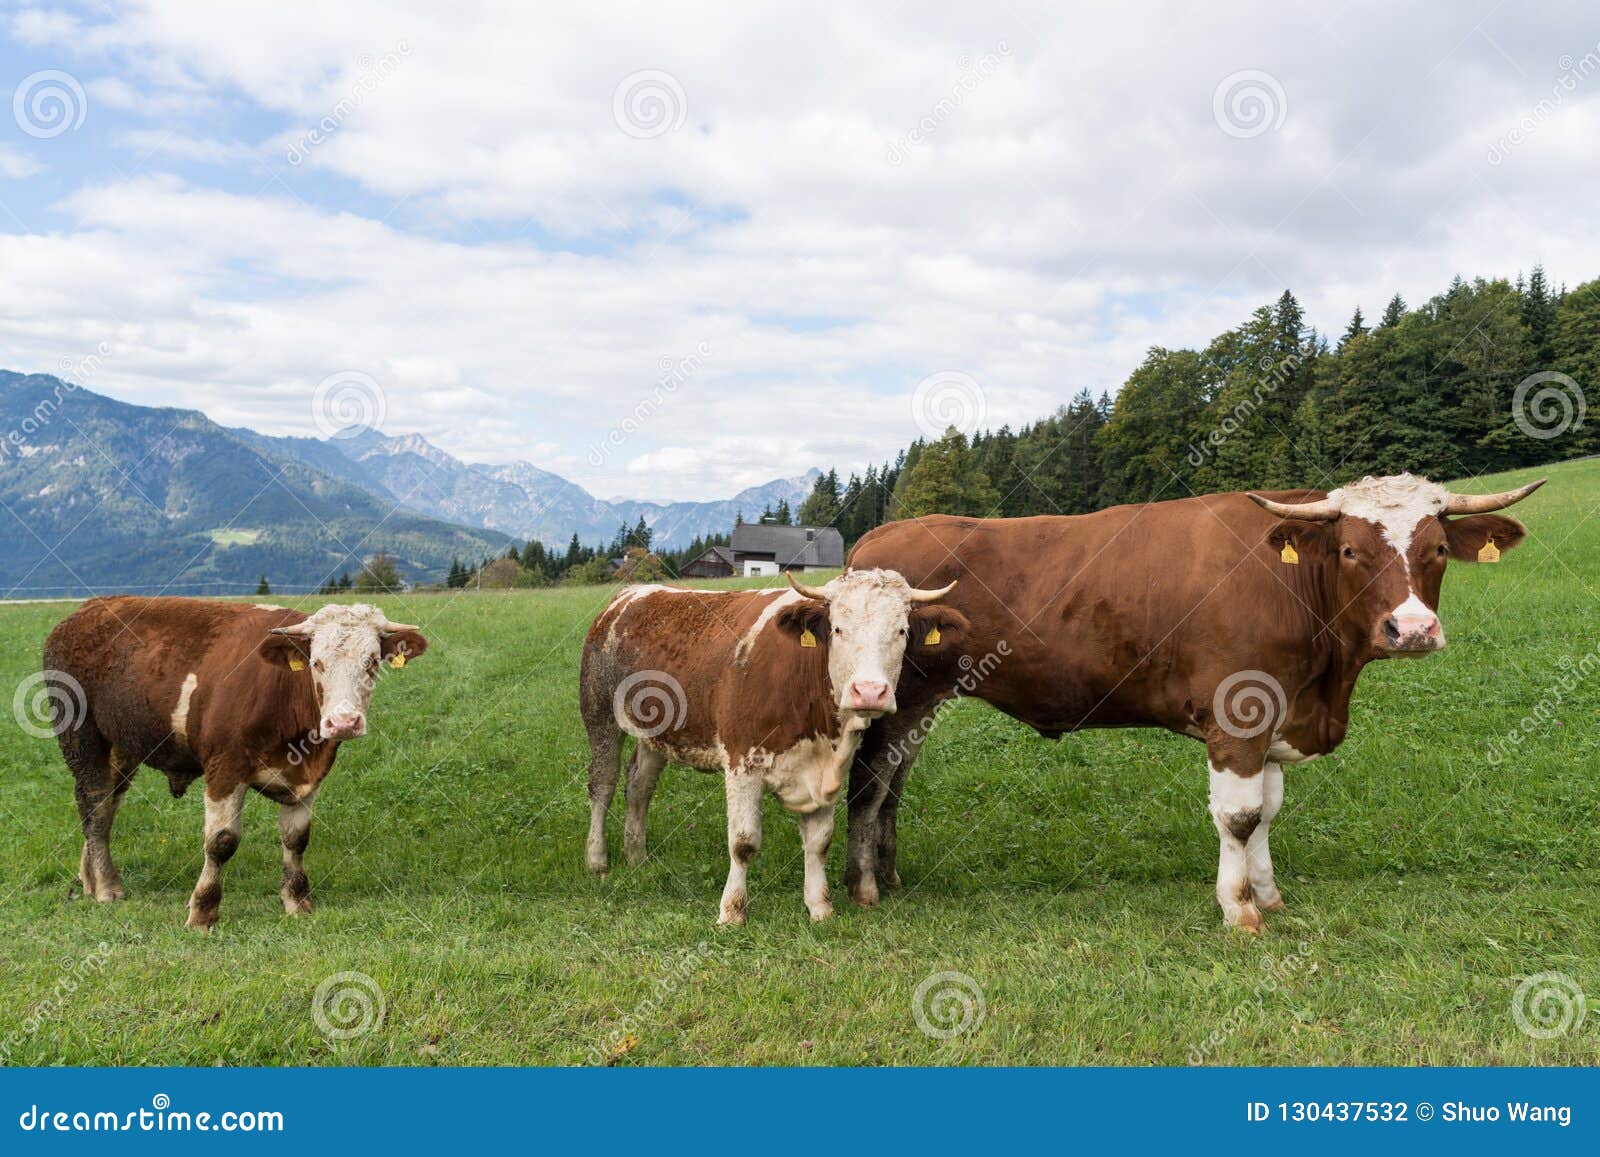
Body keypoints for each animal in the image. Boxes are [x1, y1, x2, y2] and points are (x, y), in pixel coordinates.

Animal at [41, 598, 428, 928]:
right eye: (316, 663)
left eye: (372, 662)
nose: (344, 722)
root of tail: (86, 611)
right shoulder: (225, 768)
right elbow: (221, 841)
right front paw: (203, 911)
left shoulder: (309, 776)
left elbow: (296, 839)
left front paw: (297, 901)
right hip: (81, 735)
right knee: (93, 803)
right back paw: (107, 887)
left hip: (122, 745)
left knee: (108, 803)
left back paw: (89, 878)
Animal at [581, 569, 967, 924]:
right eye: (838, 629)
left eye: (901, 631)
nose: (869, 692)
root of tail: (631, 594)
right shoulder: (742, 762)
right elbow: (743, 843)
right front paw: (732, 912)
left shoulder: (828, 770)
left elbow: (819, 841)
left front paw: (820, 908)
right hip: (599, 713)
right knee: (603, 785)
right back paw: (597, 860)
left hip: (656, 734)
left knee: (639, 786)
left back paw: (637, 856)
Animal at [844, 473, 1544, 931]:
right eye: (1351, 549)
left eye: (1440, 549)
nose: (1413, 629)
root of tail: (874, 542)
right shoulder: (1238, 715)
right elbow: (1238, 816)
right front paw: (1238, 910)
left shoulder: (1276, 720)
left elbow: (1268, 812)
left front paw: (1267, 893)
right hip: (889, 698)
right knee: (870, 783)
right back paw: (865, 887)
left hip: (918, 704)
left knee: (894, 784)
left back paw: (892, 874)